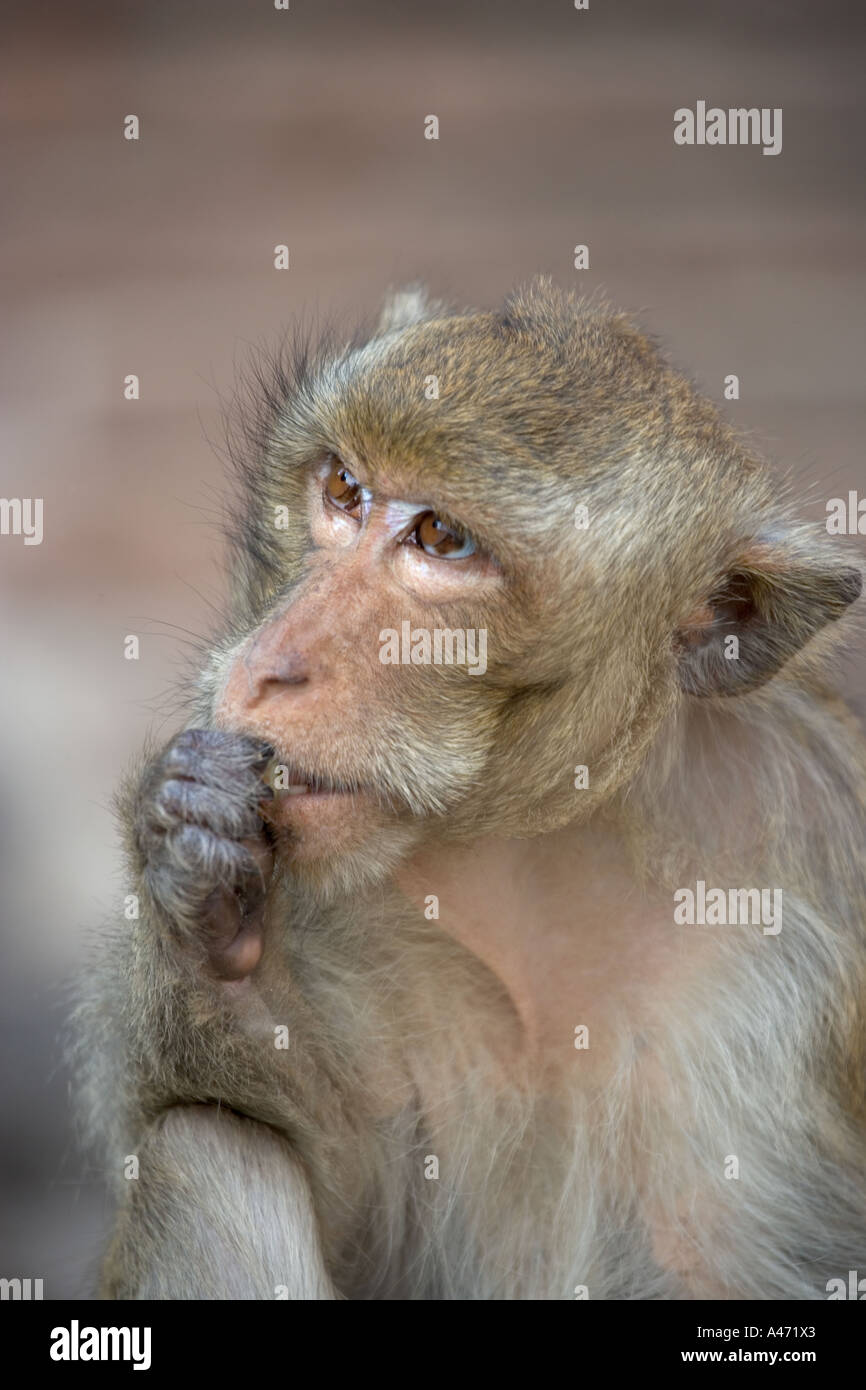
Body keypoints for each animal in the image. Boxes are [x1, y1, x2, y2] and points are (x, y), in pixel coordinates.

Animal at [75, 277, 866, 1300]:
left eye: (442, 539)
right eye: (343, 489)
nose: (270, 666)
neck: (545, 851)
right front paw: (202, 892)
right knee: (204, 1158)